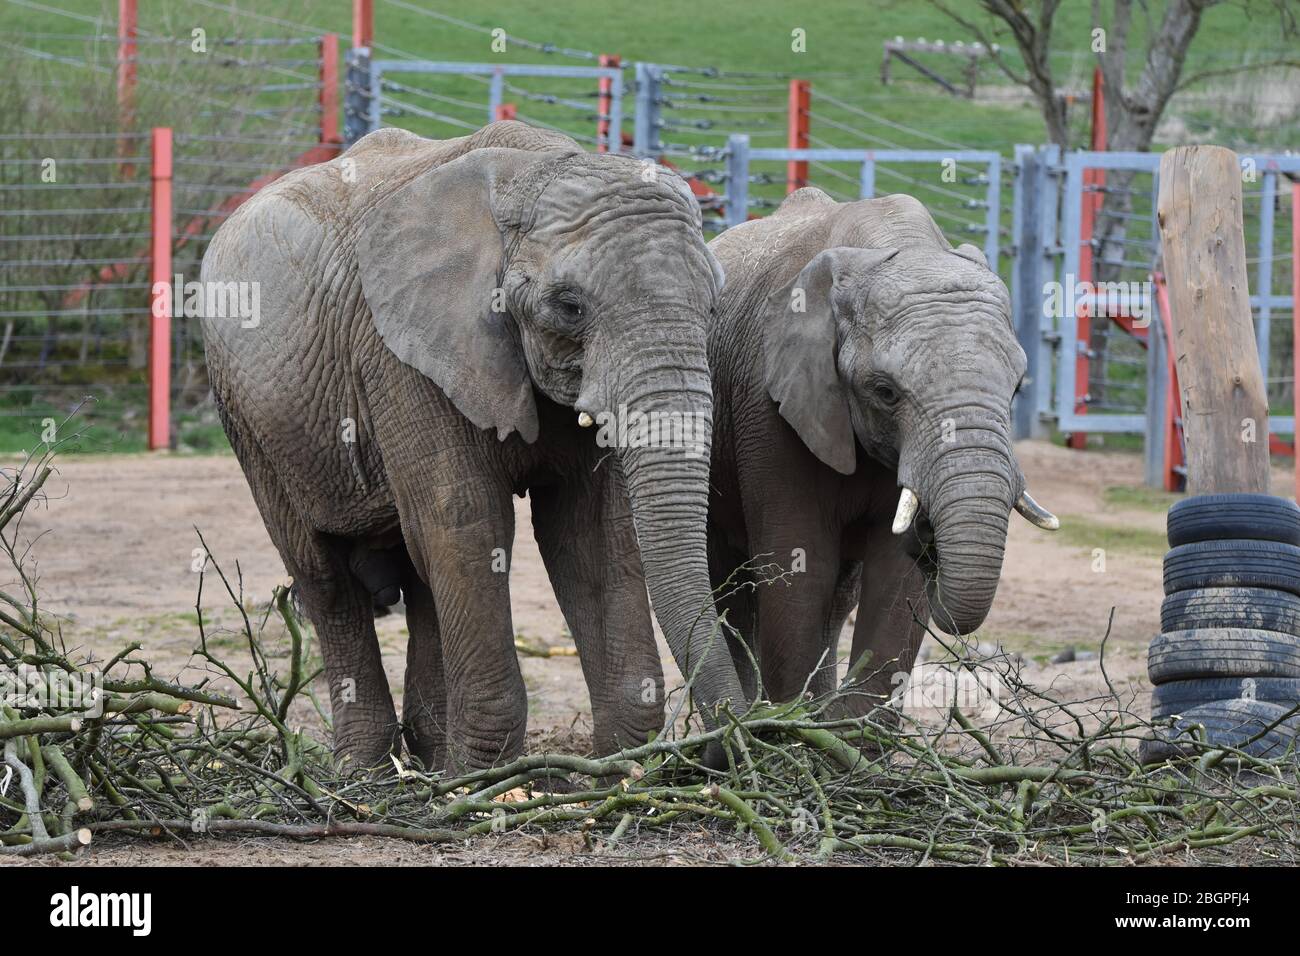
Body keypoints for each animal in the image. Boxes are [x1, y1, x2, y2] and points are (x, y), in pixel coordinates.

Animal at [200, 121, 746, 773]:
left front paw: (620, 767)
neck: (531, 171)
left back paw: (431, 761)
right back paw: (370, 774)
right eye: (570, 305)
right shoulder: (401, 355)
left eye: (714, 303)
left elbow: (588, 532)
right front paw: (487, 778)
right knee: (324, 574)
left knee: (418, 573)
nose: (726, 742)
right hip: (245, 412)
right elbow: (465, 519)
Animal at [704, 187, 1058, 712]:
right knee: (732, 587)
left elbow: (894, 582)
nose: (929, 537)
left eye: (1016, 389)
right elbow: (800, 567)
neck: (900, 247)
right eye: (886, 391)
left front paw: (845, 737)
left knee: (838, 598)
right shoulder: (769, 403)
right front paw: (794, 732)